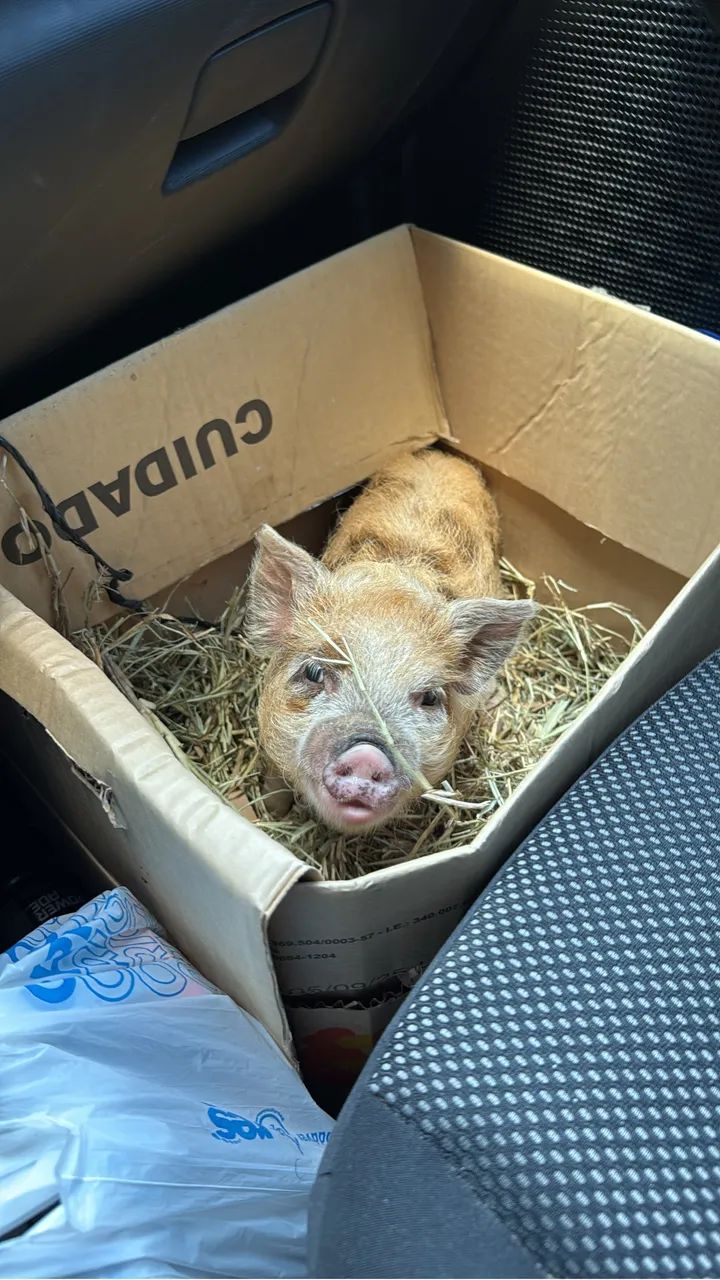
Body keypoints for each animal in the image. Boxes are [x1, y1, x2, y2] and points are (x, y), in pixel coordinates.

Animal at [245, 448, 536, 833]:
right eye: (314, 672)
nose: (366, 754)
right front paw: (271, 813)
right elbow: (275, 782)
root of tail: (441, 455)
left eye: (430, 697)